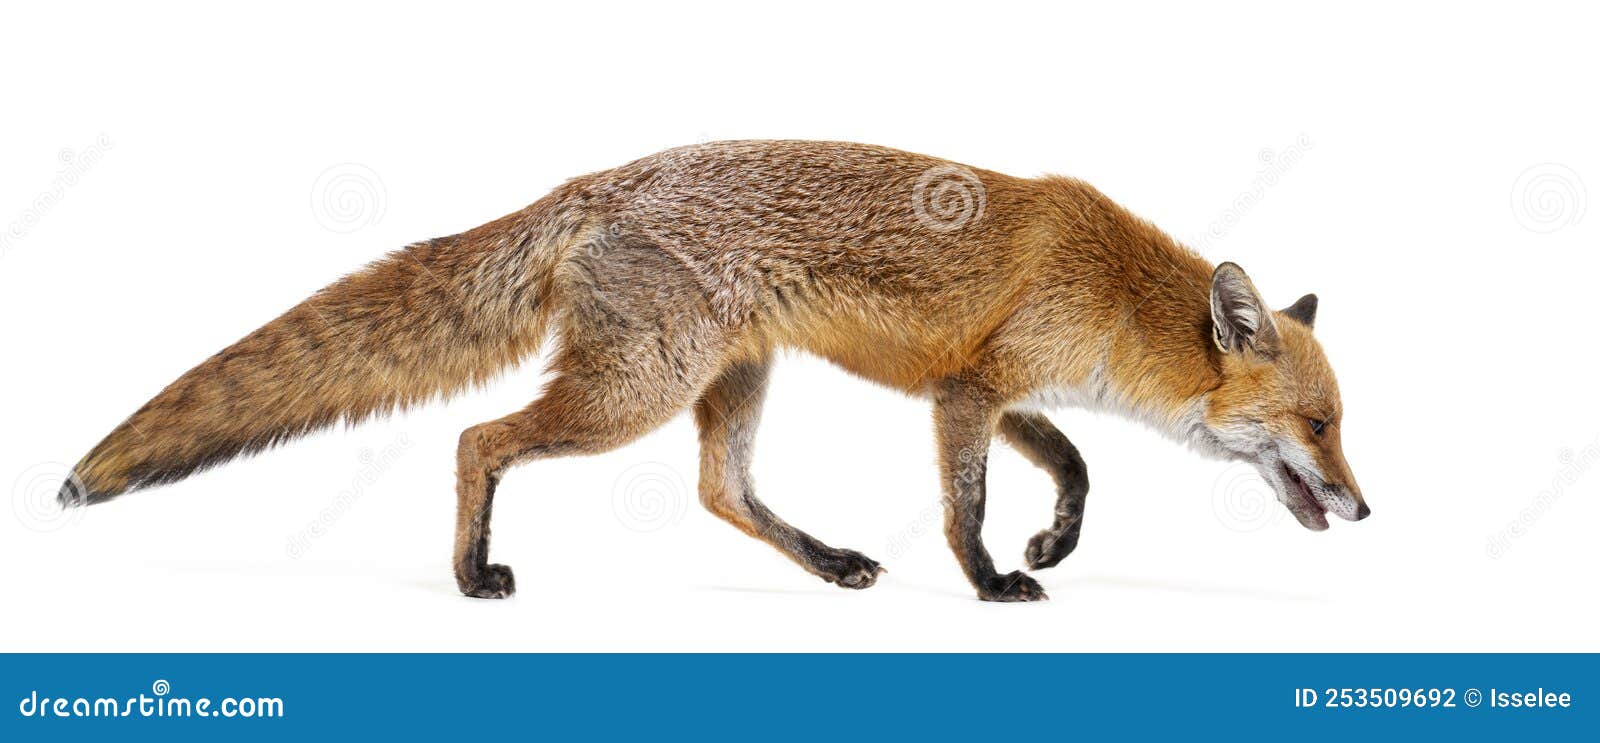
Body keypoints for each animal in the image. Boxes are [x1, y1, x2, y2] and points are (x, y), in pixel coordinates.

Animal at [59, 140, 1368, 602]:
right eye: (1319, 424)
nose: (1364, 509)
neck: (1112, 298)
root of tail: (595, 180)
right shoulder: (966, 393)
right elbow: (968, 505)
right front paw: (996, 578)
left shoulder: (991, 387)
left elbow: (1078, 464)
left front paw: (1051, 542)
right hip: (633, 391)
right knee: (479, 439)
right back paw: (471, 574)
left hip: (729, 378)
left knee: (719, 491)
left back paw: (830, 561)